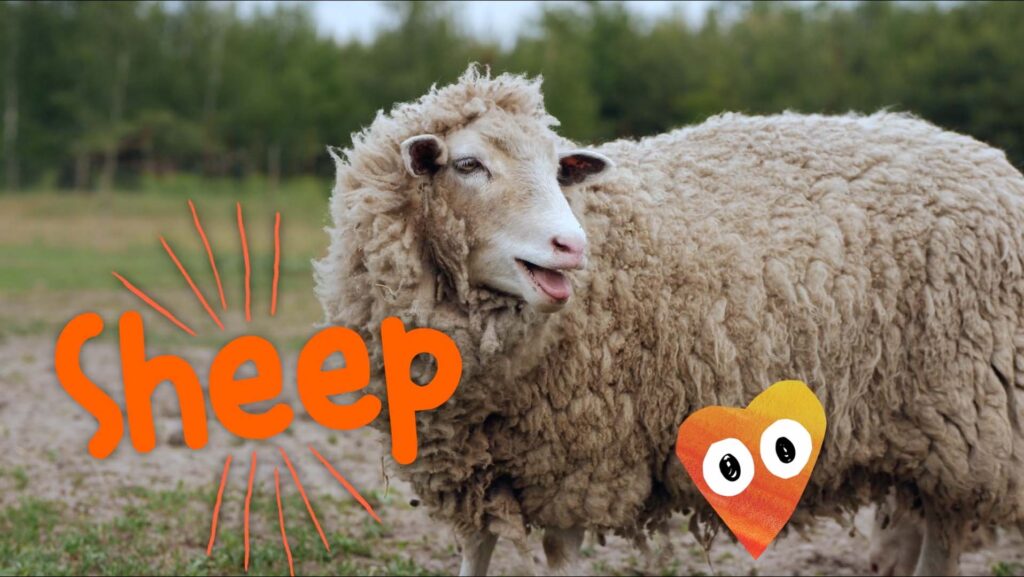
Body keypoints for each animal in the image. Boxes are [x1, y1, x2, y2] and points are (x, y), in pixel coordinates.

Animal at [314, 65, 1024, 576]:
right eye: (468, 165)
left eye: (558, 170)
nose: (573, 246)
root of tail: (995, 164)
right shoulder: (476, 462)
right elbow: (475, 554)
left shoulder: (583, 460)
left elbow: (561, 557)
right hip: (917, 433)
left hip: (974, 425)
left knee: (946, 537)